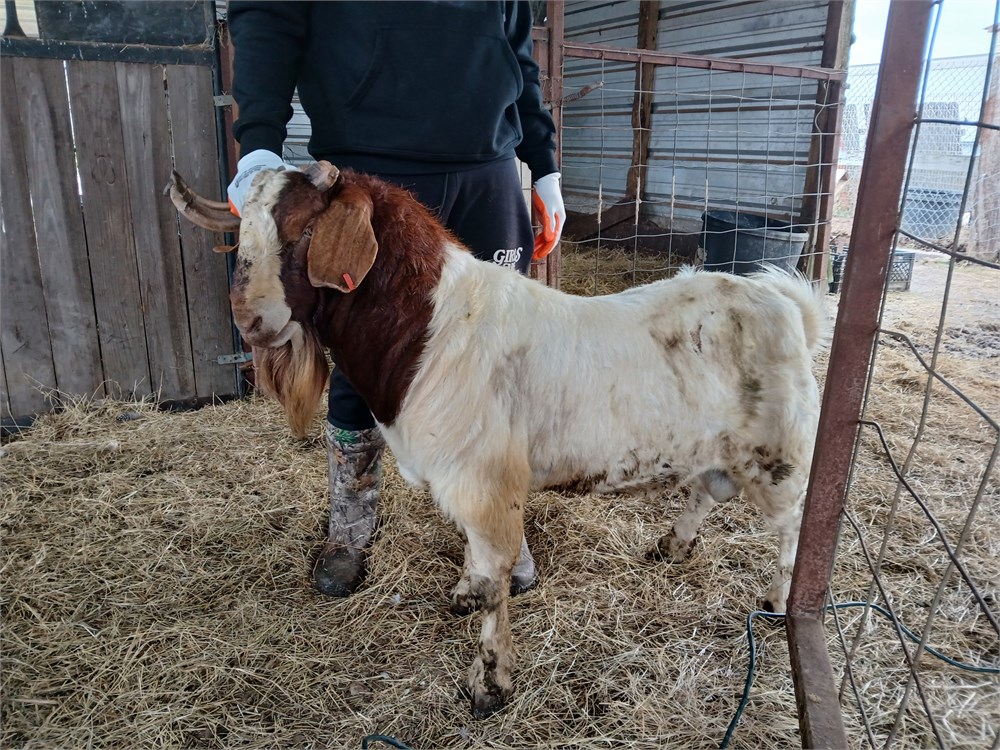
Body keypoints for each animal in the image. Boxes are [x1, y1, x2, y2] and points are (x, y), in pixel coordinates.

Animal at [168, 161, 828, 719]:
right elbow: (473, 562)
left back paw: (778, 603)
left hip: (779, 454)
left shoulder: (485, 484)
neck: (432, 328)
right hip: (717, 449)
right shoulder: (464, 484)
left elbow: (494, 585)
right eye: (241, 230)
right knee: (705, 491)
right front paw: (461, 595)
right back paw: (673, 545)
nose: (249, 321)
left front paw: (489, 686)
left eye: (305, 229)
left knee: (795, 526)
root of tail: (787, 302)